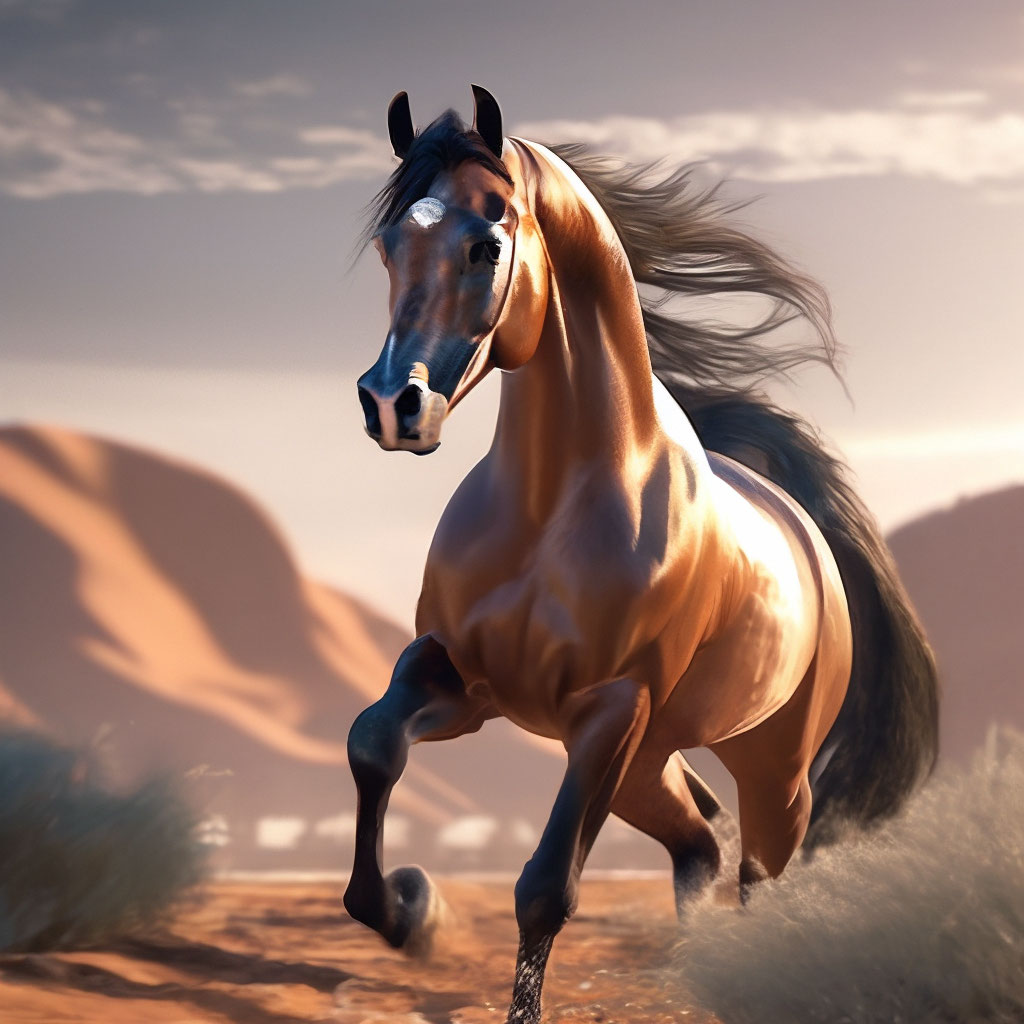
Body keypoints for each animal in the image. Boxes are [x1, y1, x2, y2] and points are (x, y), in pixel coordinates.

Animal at [342, 85, 939, 1024]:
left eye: (486, 243)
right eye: (389, 243)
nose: (394, 404)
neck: (552, 509)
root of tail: (806, 532)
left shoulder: (609, 713)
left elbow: (545, 888)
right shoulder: (464, 680)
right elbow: (372, 743)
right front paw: (410, 908)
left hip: (765, 769)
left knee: (757, 869)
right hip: (646, 766)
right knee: (699, 837)